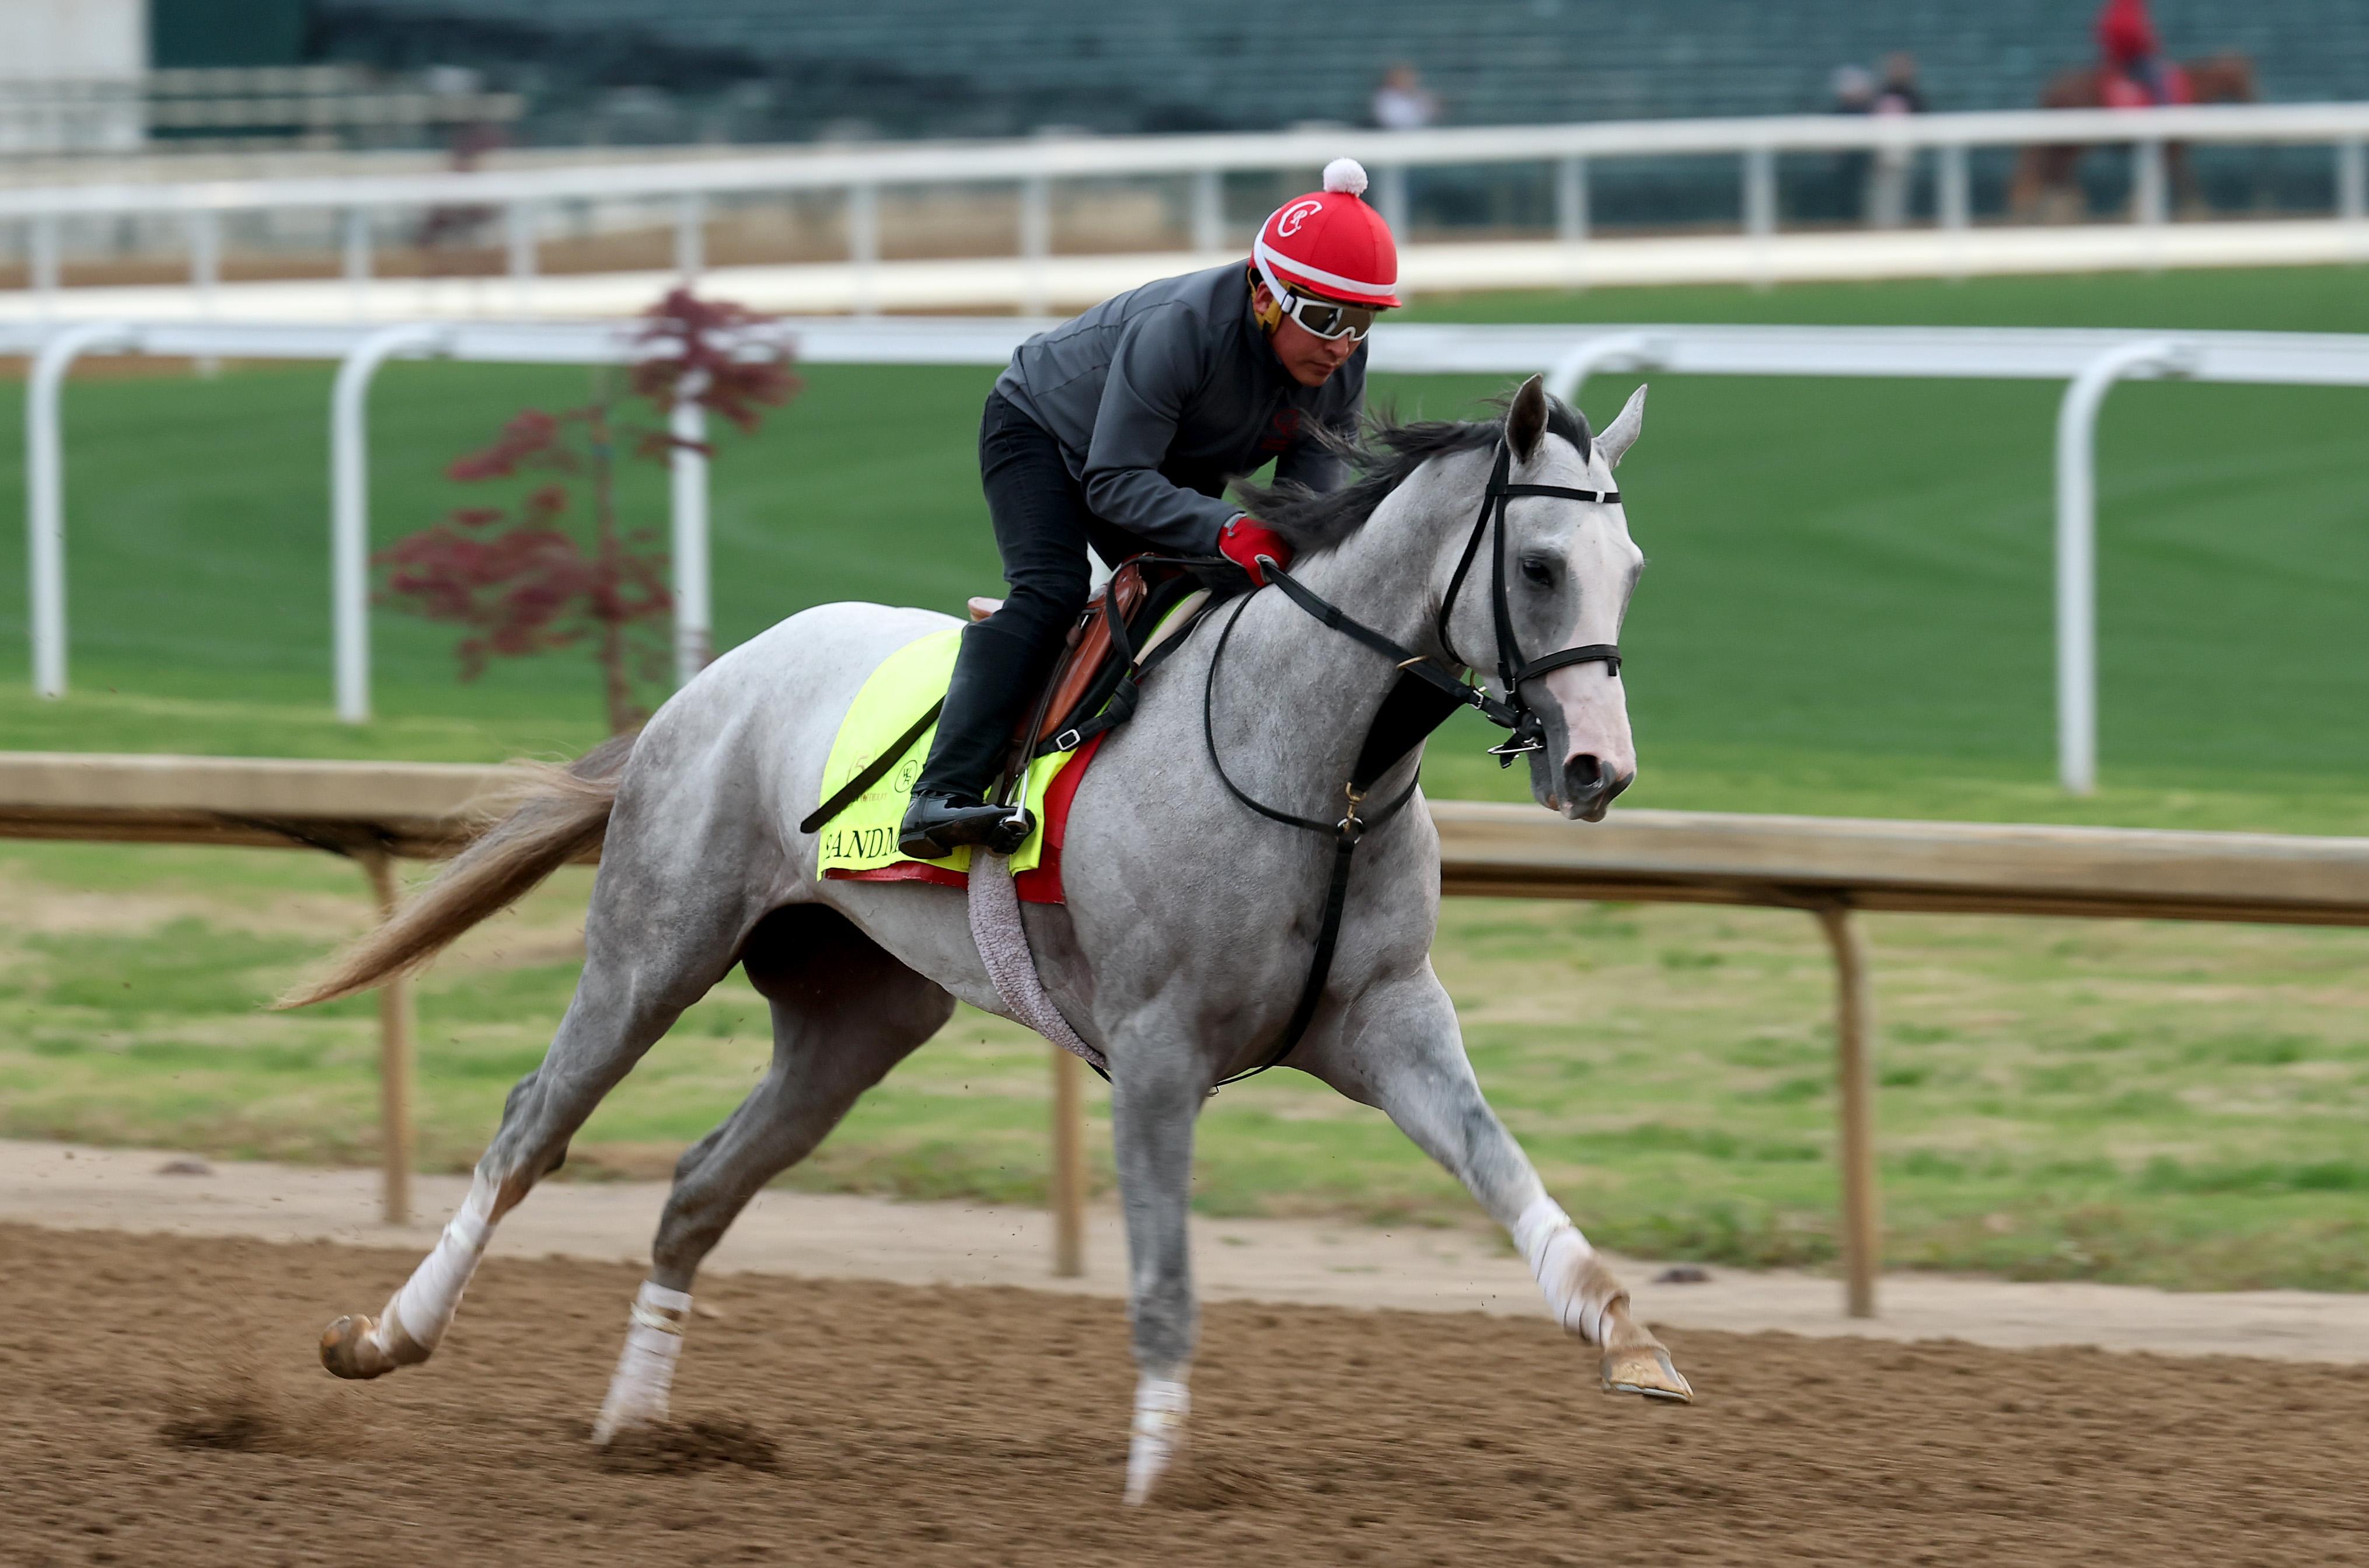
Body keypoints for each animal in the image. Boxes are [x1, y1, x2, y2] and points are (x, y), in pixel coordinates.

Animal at [282, 373, 1689, 1504]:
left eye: (1629, 567)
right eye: (1539, 565)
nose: (1596, 768)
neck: (1317, 762)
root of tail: (708, 681)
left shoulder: (1388, 1014)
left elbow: (1504, 1169)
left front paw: (1628, 1335)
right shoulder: (1159, 1048)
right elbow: (1164, 1272)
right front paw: (1159, 1470)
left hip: (858, 1016)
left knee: (698, 1185)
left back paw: (635, 1421)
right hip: (652, 947)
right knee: (531, 1125)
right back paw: (385, 1335)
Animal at [2009, 53, 2258, 222]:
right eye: (2244, 78)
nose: (2253, 101)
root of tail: (2054, 85)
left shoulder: (2166, 148)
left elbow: (2165, 176)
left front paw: (2132, 207)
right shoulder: (2174, 147)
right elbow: (2185, 178)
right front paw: (2197, 209)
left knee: (2052, 170)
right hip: (2076, 143)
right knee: (2057, 170)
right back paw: (2067, 206)